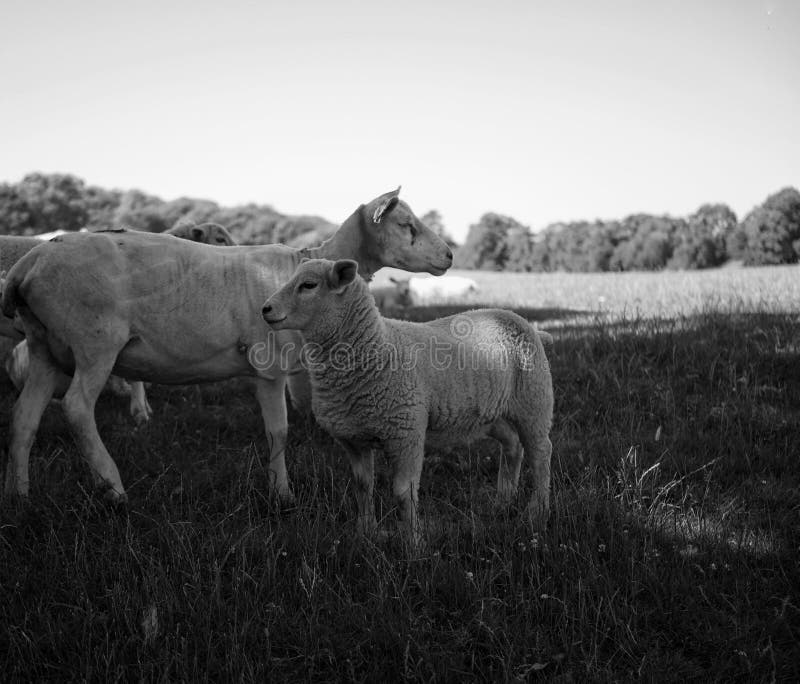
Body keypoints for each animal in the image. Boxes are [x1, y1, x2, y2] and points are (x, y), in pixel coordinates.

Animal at [261, 258, 553, 547]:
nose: (265, 309)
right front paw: (365, 534)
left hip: (534, 401)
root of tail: (519, 320)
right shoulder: (353, 438)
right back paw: (503, 502)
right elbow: (362, 486)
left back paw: (537, 512)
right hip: (493, 413)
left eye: (309, 285)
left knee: (541, 453)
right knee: (513, 445)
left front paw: (413, 544)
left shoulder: (406, 434)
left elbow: (404, 492)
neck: (377, 347)